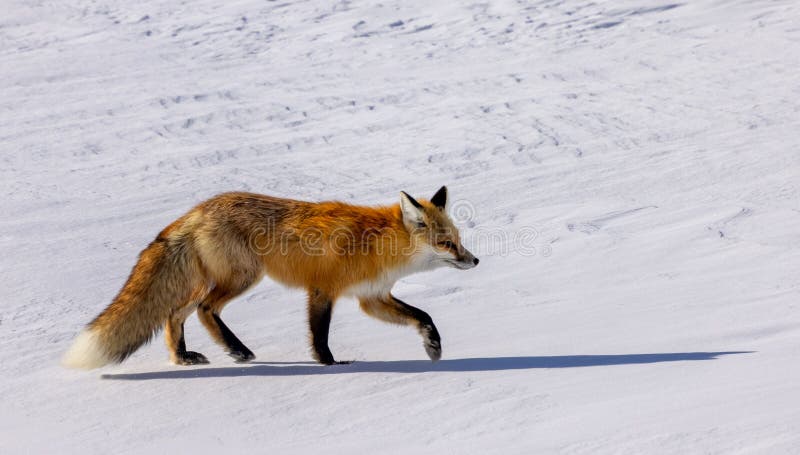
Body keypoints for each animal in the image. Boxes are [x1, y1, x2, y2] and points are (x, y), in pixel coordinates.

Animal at [62, 186, 478, 369]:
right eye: (446, 244)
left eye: (459, 240)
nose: (474, 260)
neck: (376, 245)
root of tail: (198, 209)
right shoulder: (323, 290)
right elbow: (319, 334)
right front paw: (329, 364)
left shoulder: (371, 298)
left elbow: (423, 316)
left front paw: (433, 346)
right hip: (243, 278)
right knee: (204, 311)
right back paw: (236, 350)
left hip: (213, 282)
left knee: (174, 315)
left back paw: (182, 357)